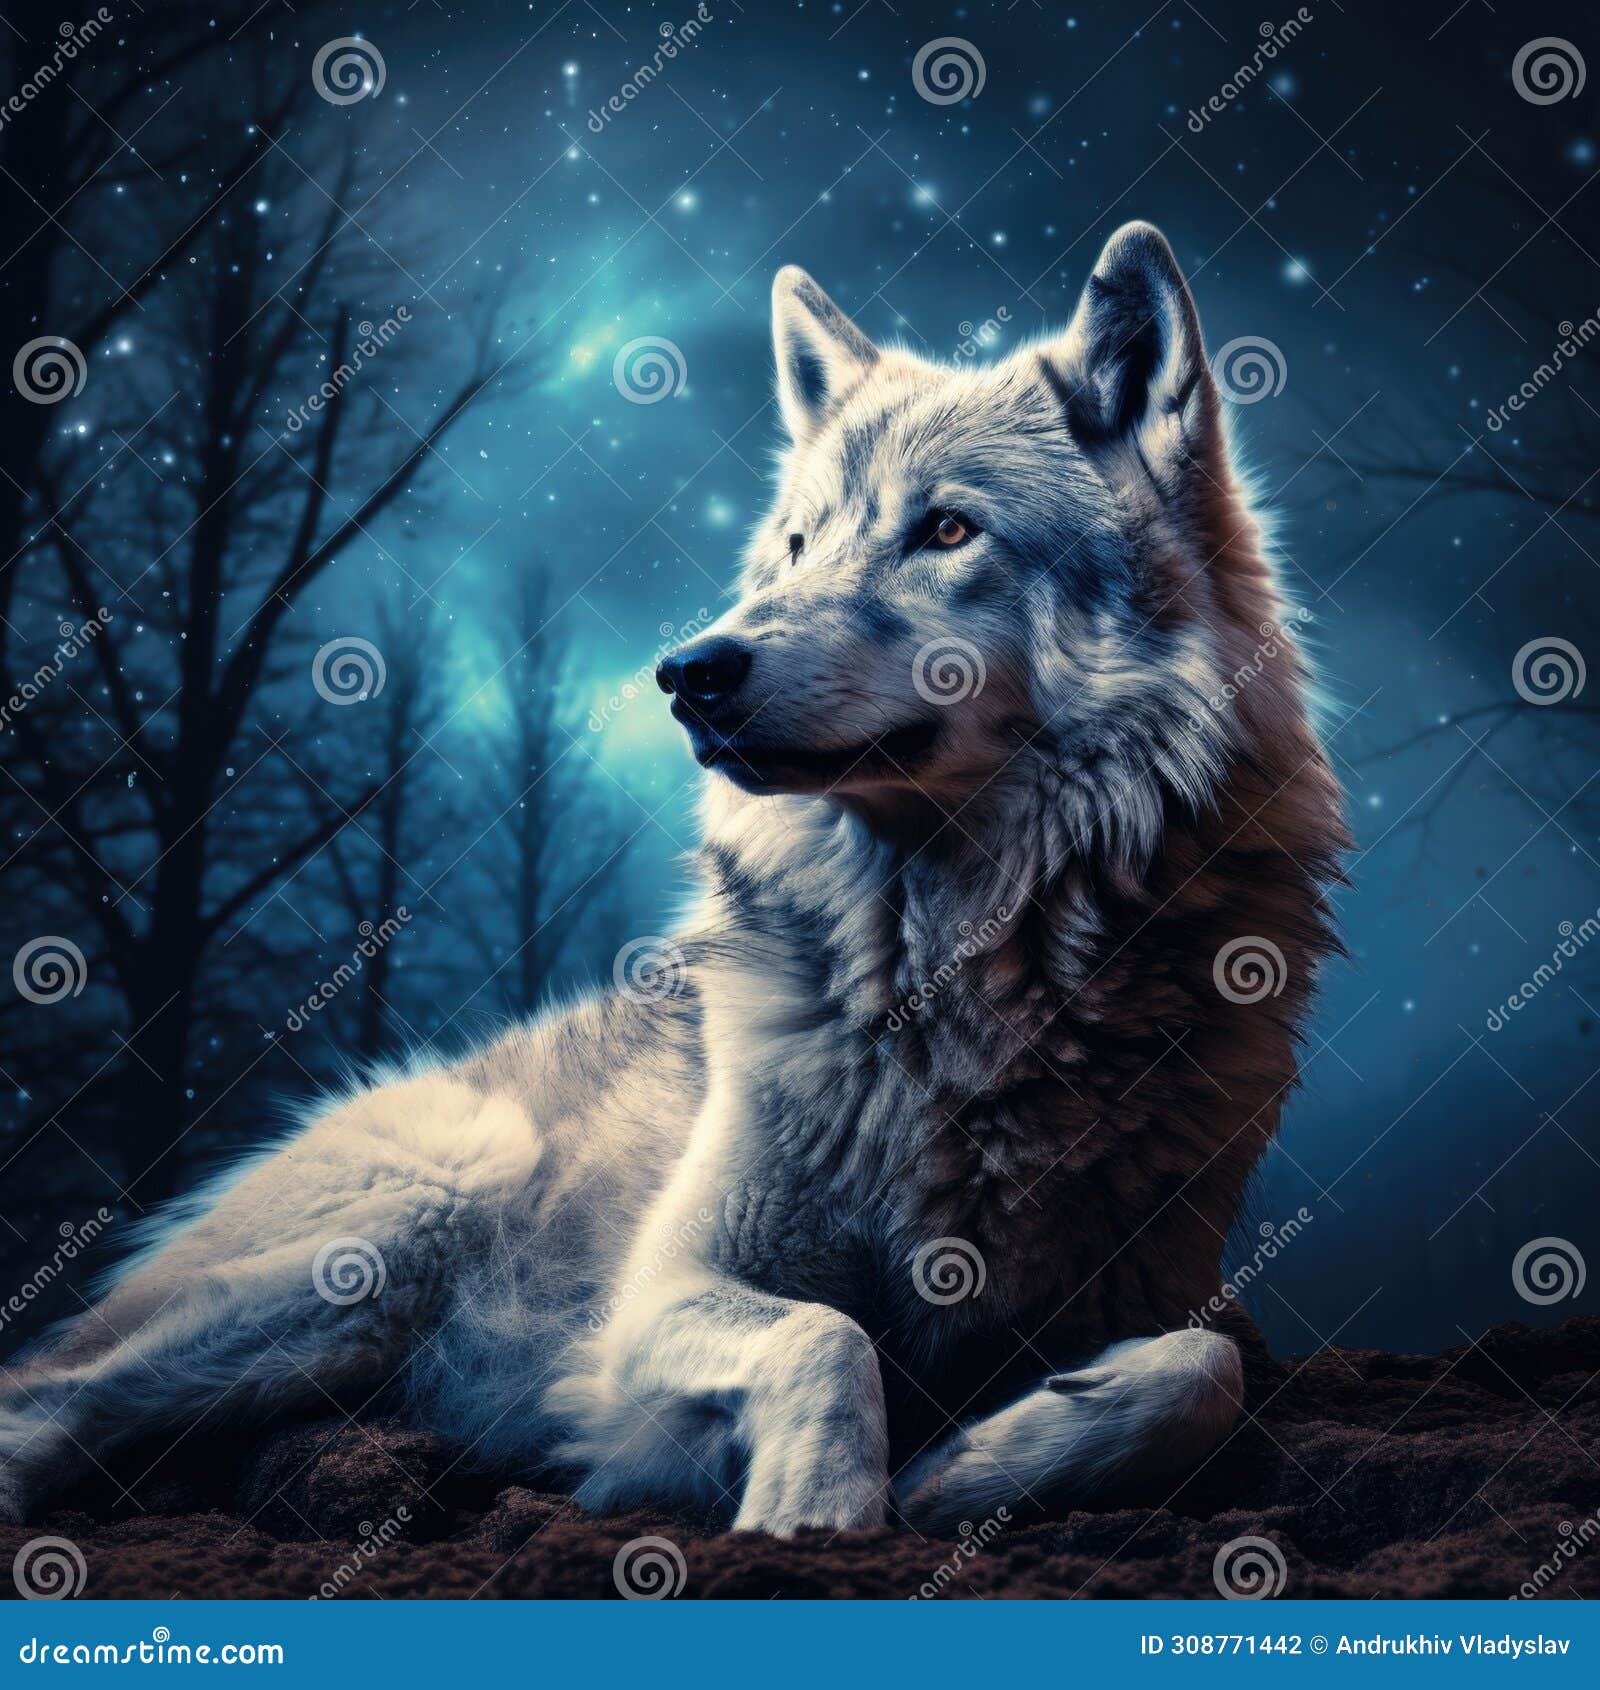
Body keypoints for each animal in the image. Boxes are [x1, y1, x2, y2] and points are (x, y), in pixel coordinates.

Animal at [0, 223, 1345, 1537]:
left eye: (948, 530)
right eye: (795, 545)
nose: (691, 670)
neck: (957, 983)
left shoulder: (1158, 1289)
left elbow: (1203, 1369)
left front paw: (968, 1467)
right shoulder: (655, 1306)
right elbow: (828, 1338)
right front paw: (813, 1515)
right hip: (408, 1226)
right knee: (42, 1402)